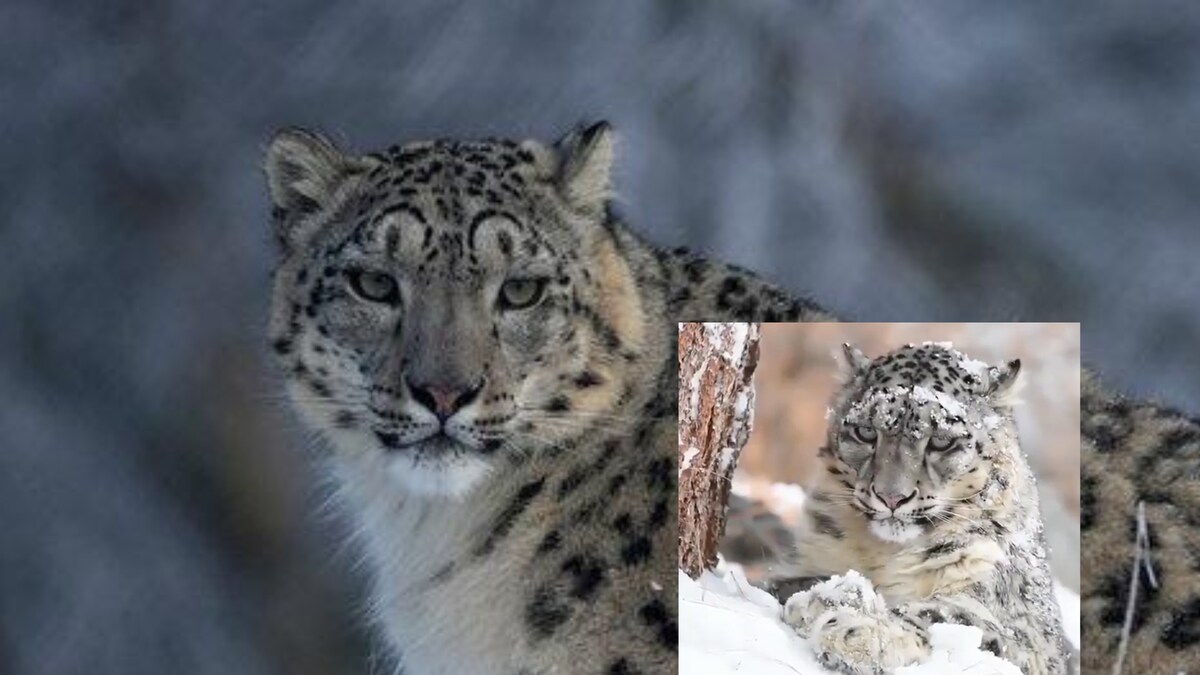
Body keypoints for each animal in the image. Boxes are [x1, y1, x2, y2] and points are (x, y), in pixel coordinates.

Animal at [777, 342, 1071, 674]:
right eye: (866, 432)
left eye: (942, 441)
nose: (891, 497)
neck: (885, 554)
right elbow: (791, 584)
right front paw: (828, 596)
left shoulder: (1027, 633)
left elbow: (955, 618)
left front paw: (858, 633)